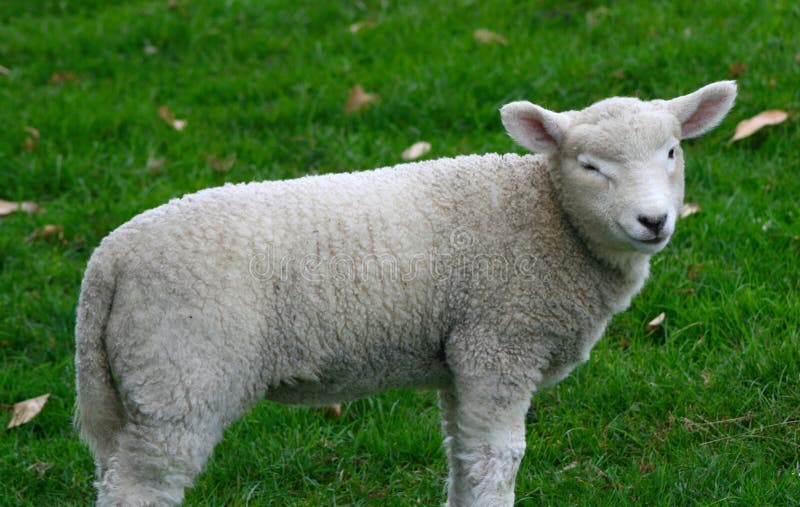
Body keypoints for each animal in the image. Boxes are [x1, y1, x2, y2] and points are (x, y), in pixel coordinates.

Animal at [75, 81, 736, 506]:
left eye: (672, 152)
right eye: (590, 166)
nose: (654, 221)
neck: (548, 219)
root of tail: (110, 257)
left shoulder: (461, 358)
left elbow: (463, 459)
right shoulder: (498, 346)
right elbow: (497, 462)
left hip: (135, 386)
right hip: (182, 374)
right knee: (141, 488)